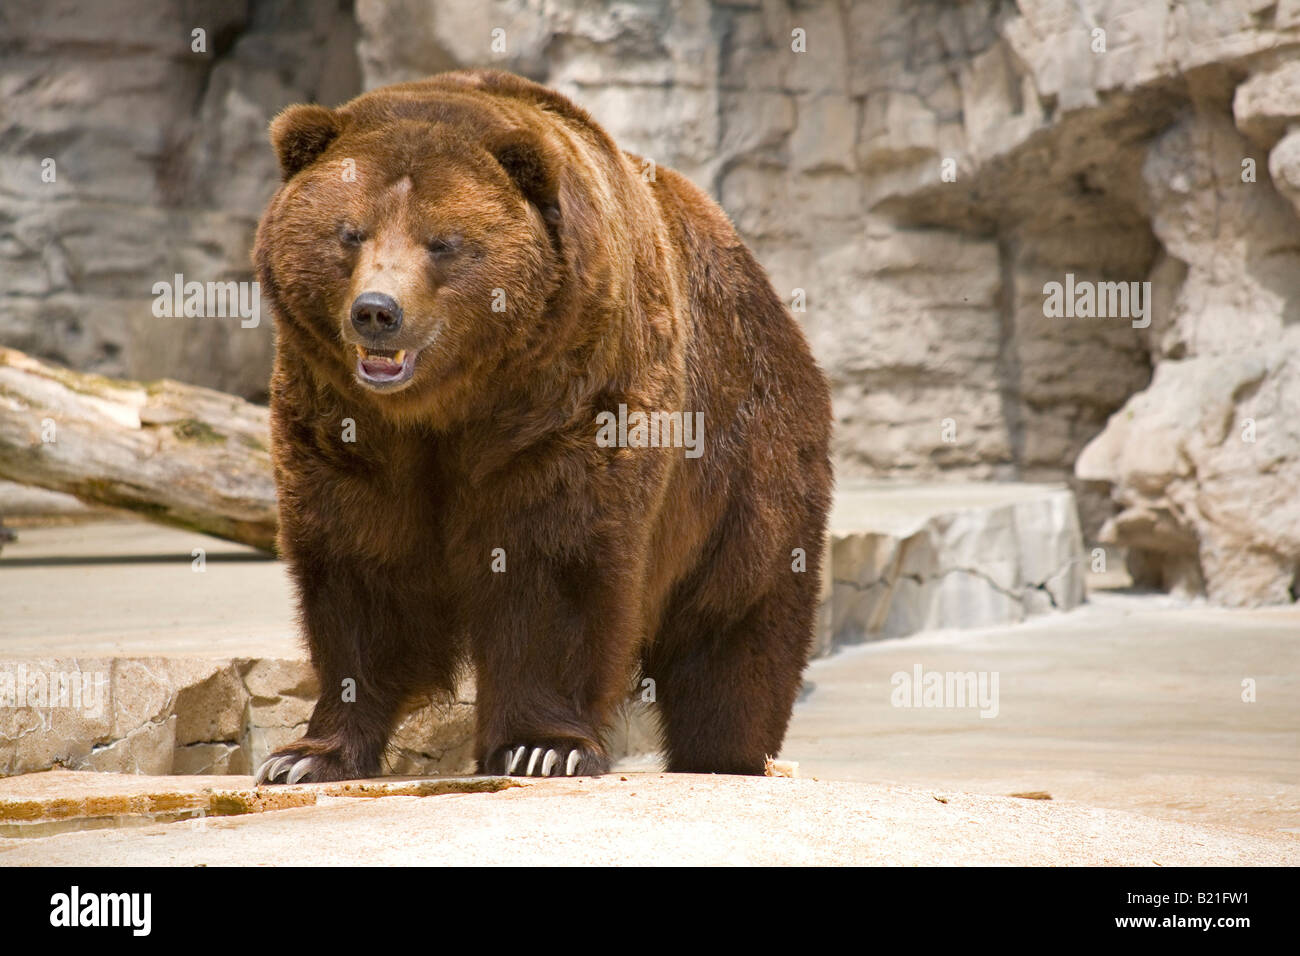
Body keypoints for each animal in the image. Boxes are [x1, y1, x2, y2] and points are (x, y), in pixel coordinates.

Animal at [251, 69, 831, 783]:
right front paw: (306, 756)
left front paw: (543, 746)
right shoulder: (344, 427)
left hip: (747, 452)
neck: (445, 406)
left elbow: (552, 563)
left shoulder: (565, 406)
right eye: (349, 233)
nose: (376, 312)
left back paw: (729, 754)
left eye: (443, 242)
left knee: (738, 619)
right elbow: (358, 568)